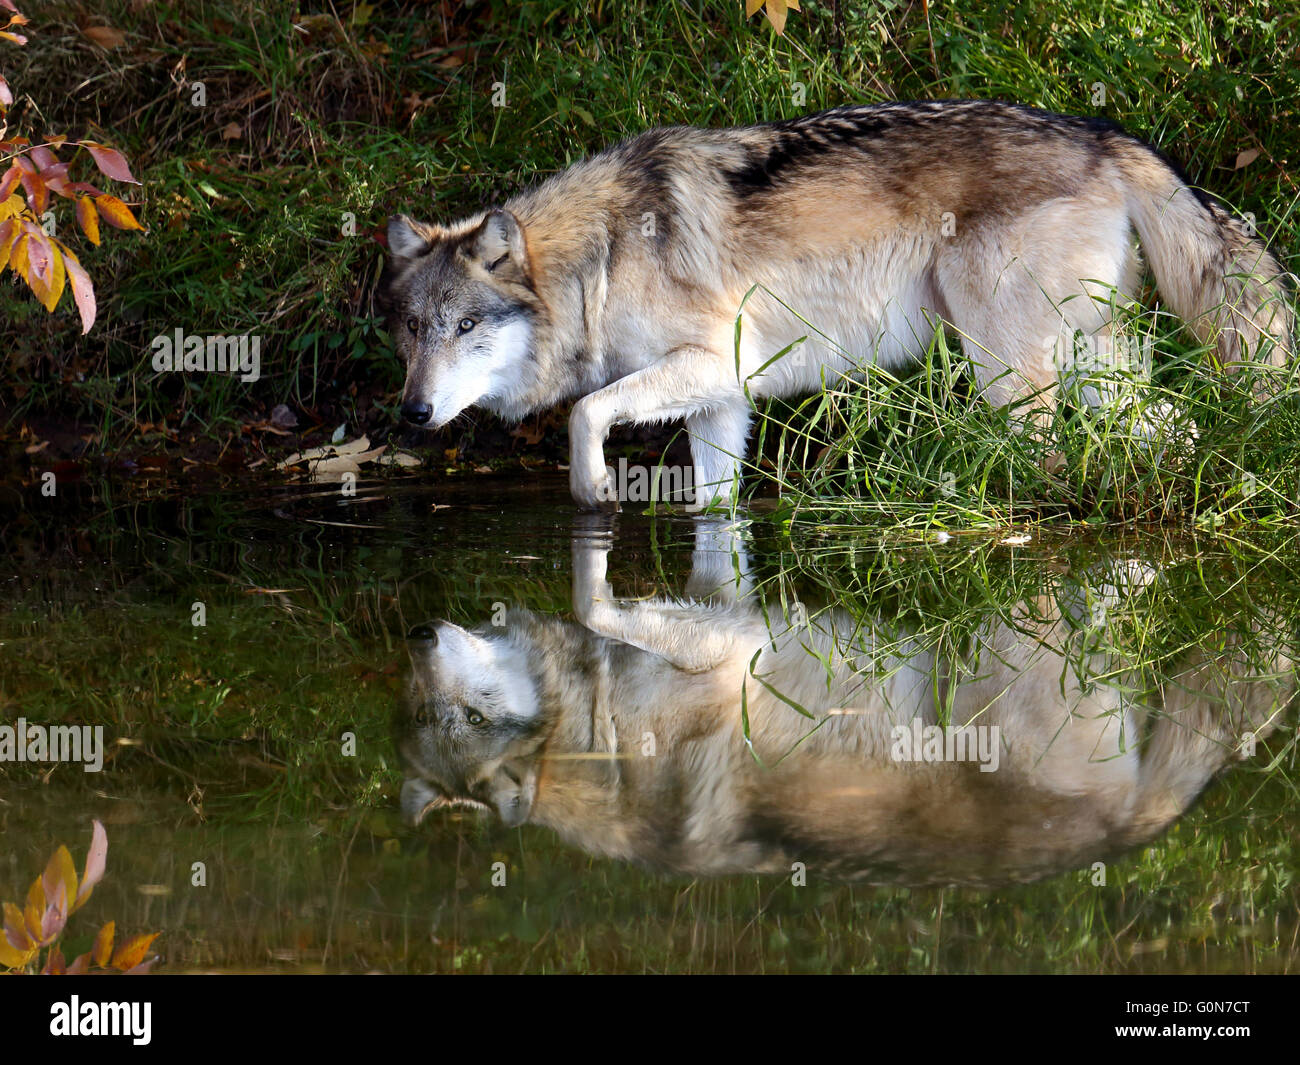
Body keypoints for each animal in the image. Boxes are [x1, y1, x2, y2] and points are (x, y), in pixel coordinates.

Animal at [383, 100, 1292, 509]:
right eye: (414, 330)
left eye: (467, 326)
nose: (413, 413)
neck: (599, 260)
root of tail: (1107, 136)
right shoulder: (724, 403)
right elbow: (715, 520)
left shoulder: (711, 364)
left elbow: (583, 415)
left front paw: (593, 491)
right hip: (1093, 370)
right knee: (1172, 430)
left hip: (1008, 376)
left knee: (1053, 462)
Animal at [395, 524, 1292, 883]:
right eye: (427, 706)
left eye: (465, 716)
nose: (419, 632)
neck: (592, 741)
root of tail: (1125, 832)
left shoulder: (725, 634)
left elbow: (604, 603)